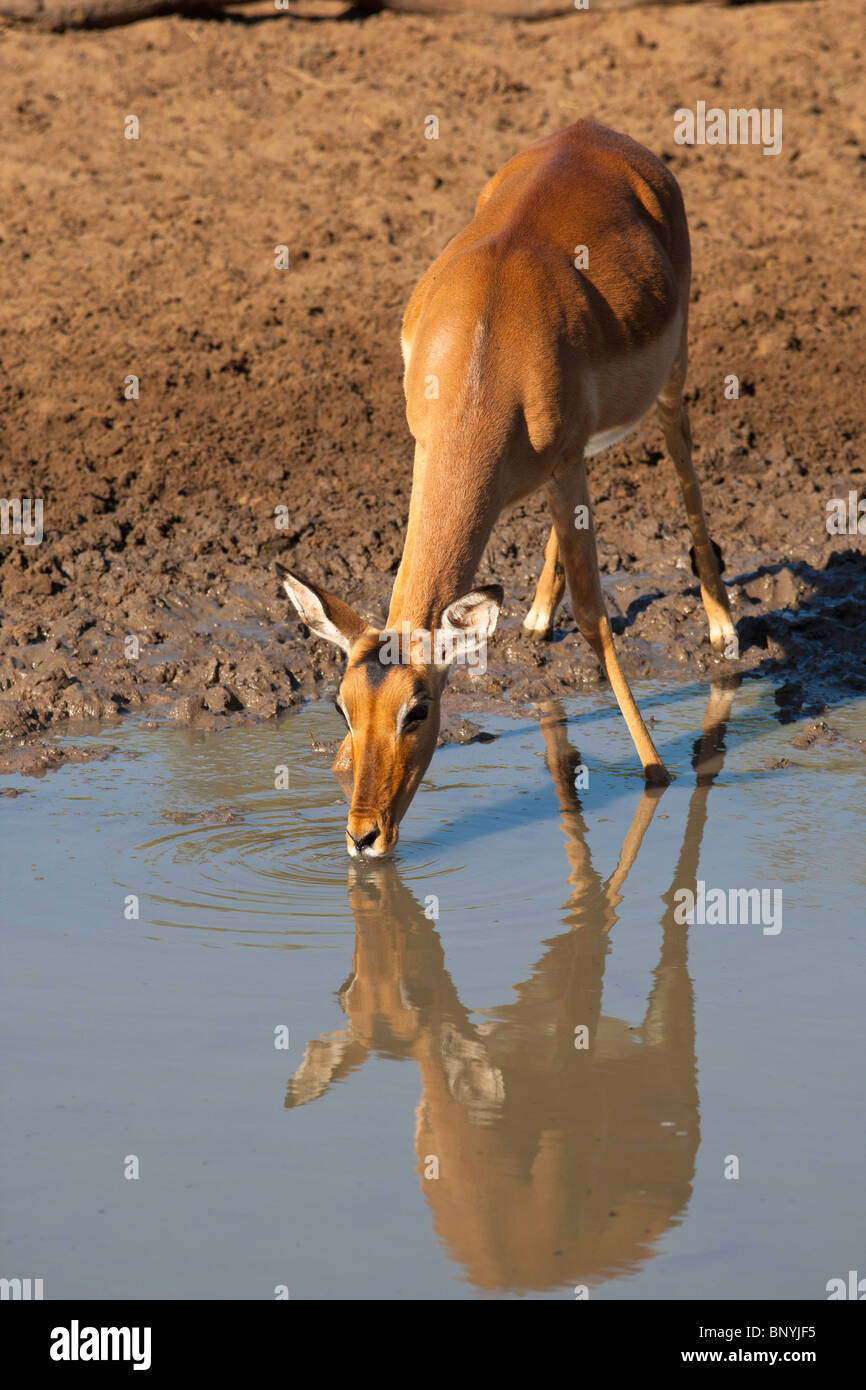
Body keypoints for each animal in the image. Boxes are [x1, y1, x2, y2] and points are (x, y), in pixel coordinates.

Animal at [279, 118, 735, 858]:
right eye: (342, 704)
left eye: (419, 709)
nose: (364, 836)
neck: (486, 349)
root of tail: (597, 133)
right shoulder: (441, 450)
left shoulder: (566, 459)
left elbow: (596, 616)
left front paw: (655, 769)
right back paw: (538, 616)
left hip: (670, 377)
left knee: (682, 451)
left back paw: (722, 625)